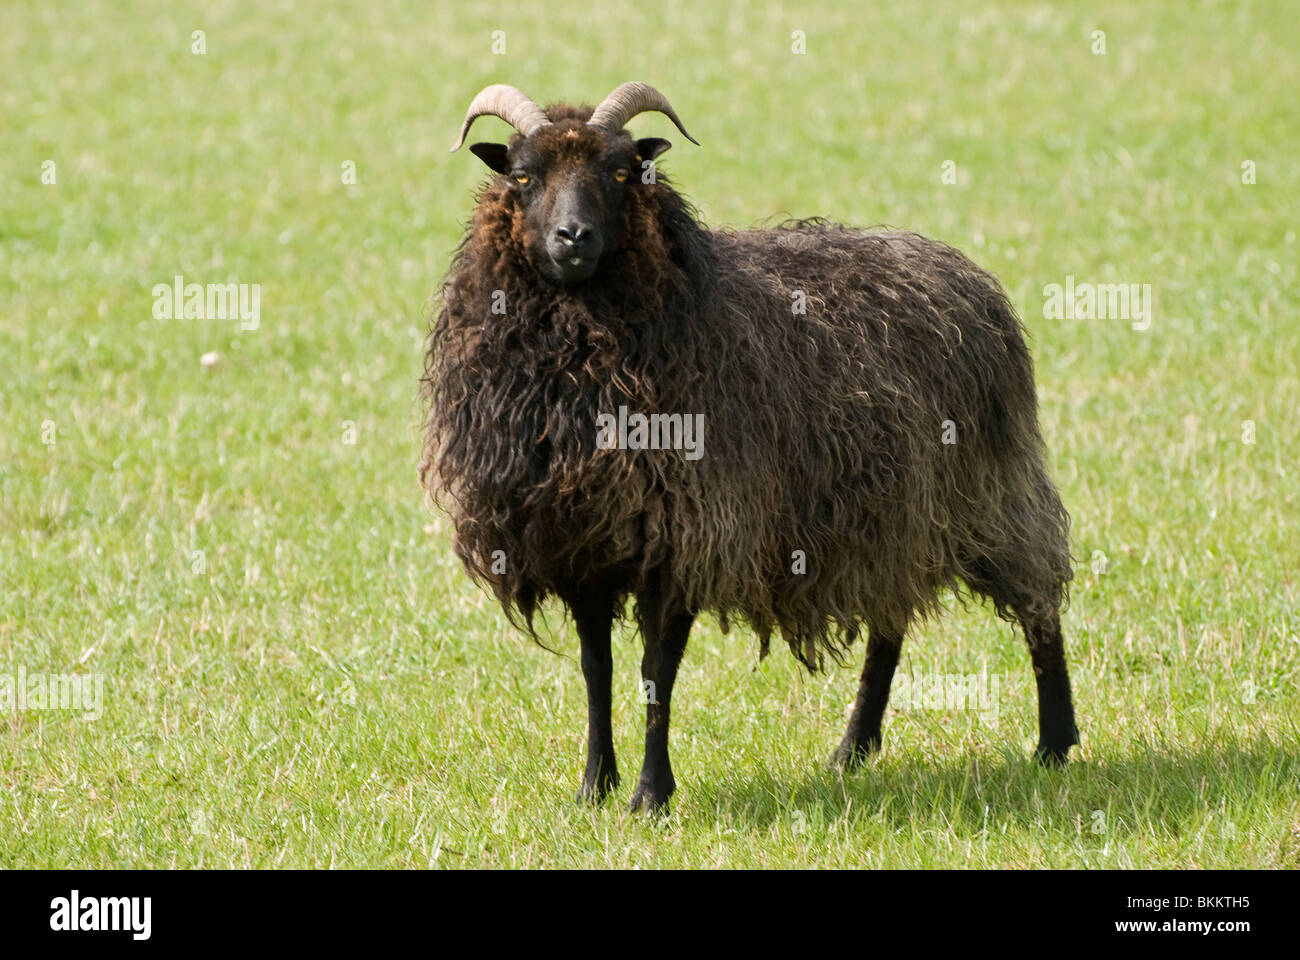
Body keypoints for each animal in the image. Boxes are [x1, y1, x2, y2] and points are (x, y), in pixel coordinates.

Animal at [420, 82, 1079, 812]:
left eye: (622, 172)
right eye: (522, 176)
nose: (574, 238)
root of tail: (965, 273)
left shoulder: (687, 534)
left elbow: (657, 672)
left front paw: (651, 795)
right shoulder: (579, 543)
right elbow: (598, 670)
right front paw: (595, 785)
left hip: (989, 486)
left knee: (1038, 598)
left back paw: (1055, 743)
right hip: (891, 508)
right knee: (889, 622)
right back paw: (853, 749)